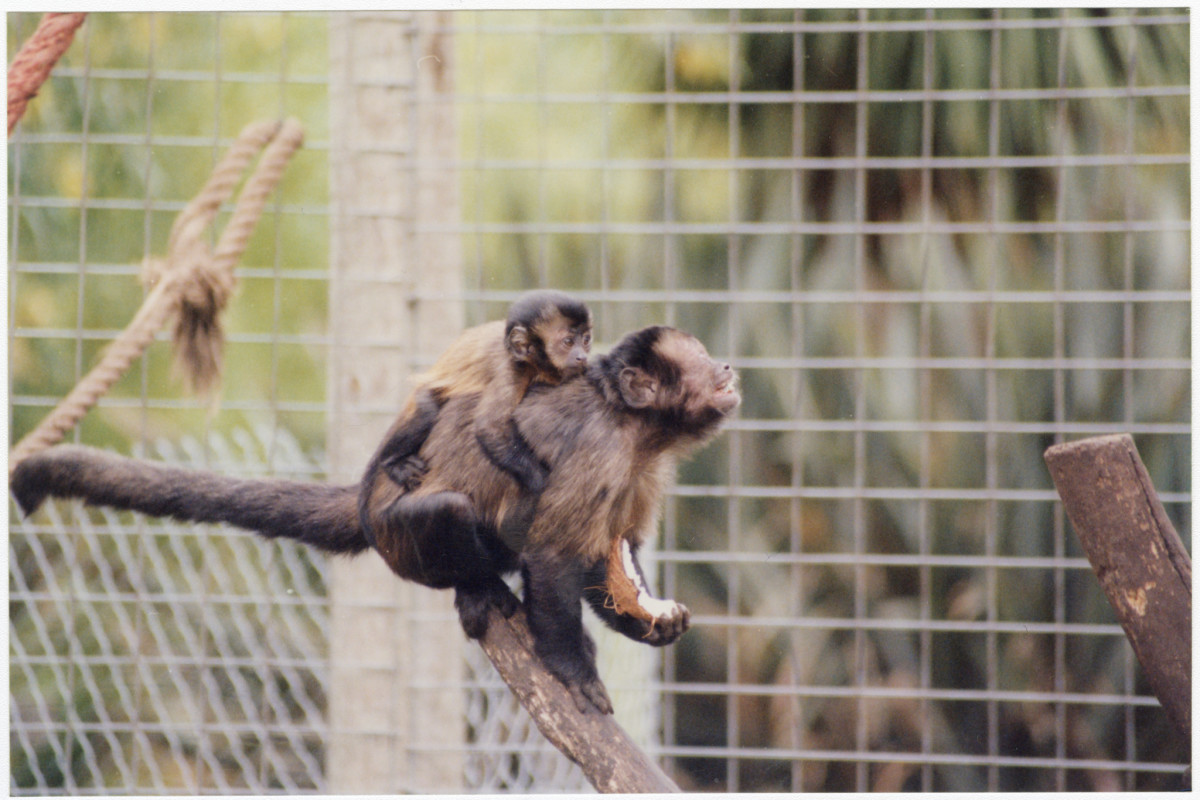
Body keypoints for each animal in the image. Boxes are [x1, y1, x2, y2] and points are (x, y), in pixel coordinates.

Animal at [11, 324, 738, 714]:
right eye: (703, 358)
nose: (729, 365)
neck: (635, 427)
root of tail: (371, 490)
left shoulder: (643, 467)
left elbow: (612, 551)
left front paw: (645, 621)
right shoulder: (600, 448)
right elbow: (553, 554)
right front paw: (574, 669)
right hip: (396, 536)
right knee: (449, 512)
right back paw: (477, 590)